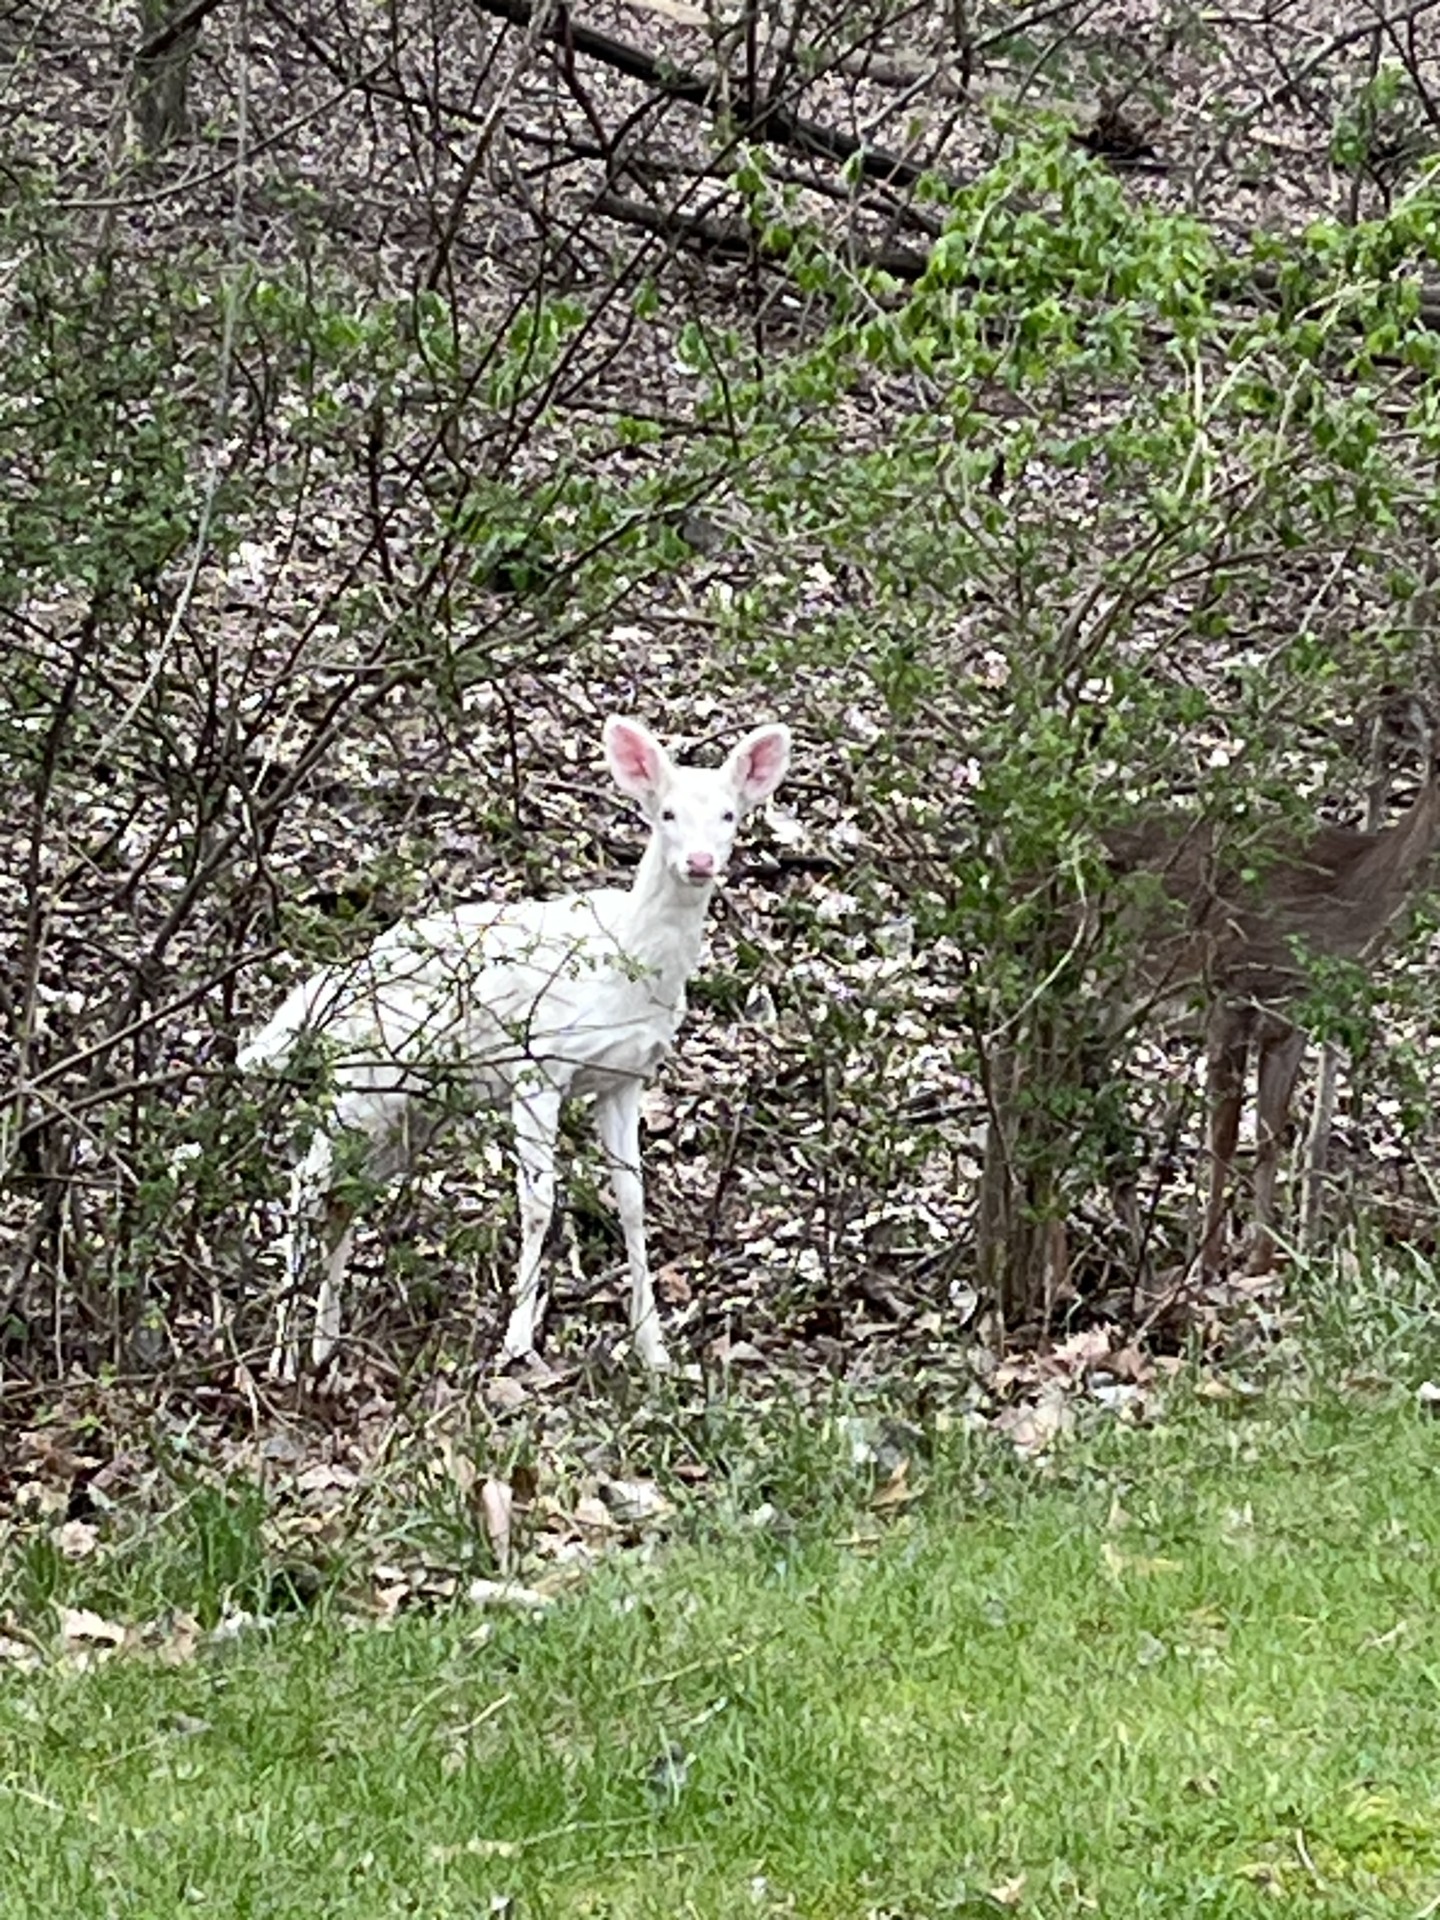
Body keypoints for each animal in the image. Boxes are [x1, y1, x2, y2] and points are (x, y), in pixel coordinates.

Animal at [238, 715, 793, 1378]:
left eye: (730, 814)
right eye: (666, 813)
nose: (701, 861)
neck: (628, 967)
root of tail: (327, 987)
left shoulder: (623, 1078)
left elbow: (633, 1201)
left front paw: (652, 1347)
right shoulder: (540, 1065)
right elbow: (537, 1202)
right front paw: (518, 1341)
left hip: (408, 1110)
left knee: (345, 1196)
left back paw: (323, 1346)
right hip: (360, 1082)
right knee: (305, 1182)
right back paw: (279, 1359)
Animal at [1100, 699, 1440, 1277]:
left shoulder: (1293, 1016)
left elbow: (1269, 1134)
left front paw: (1261, 1261)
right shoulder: (1232, 988)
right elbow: (1222, 1133)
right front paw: (1208, 1261)